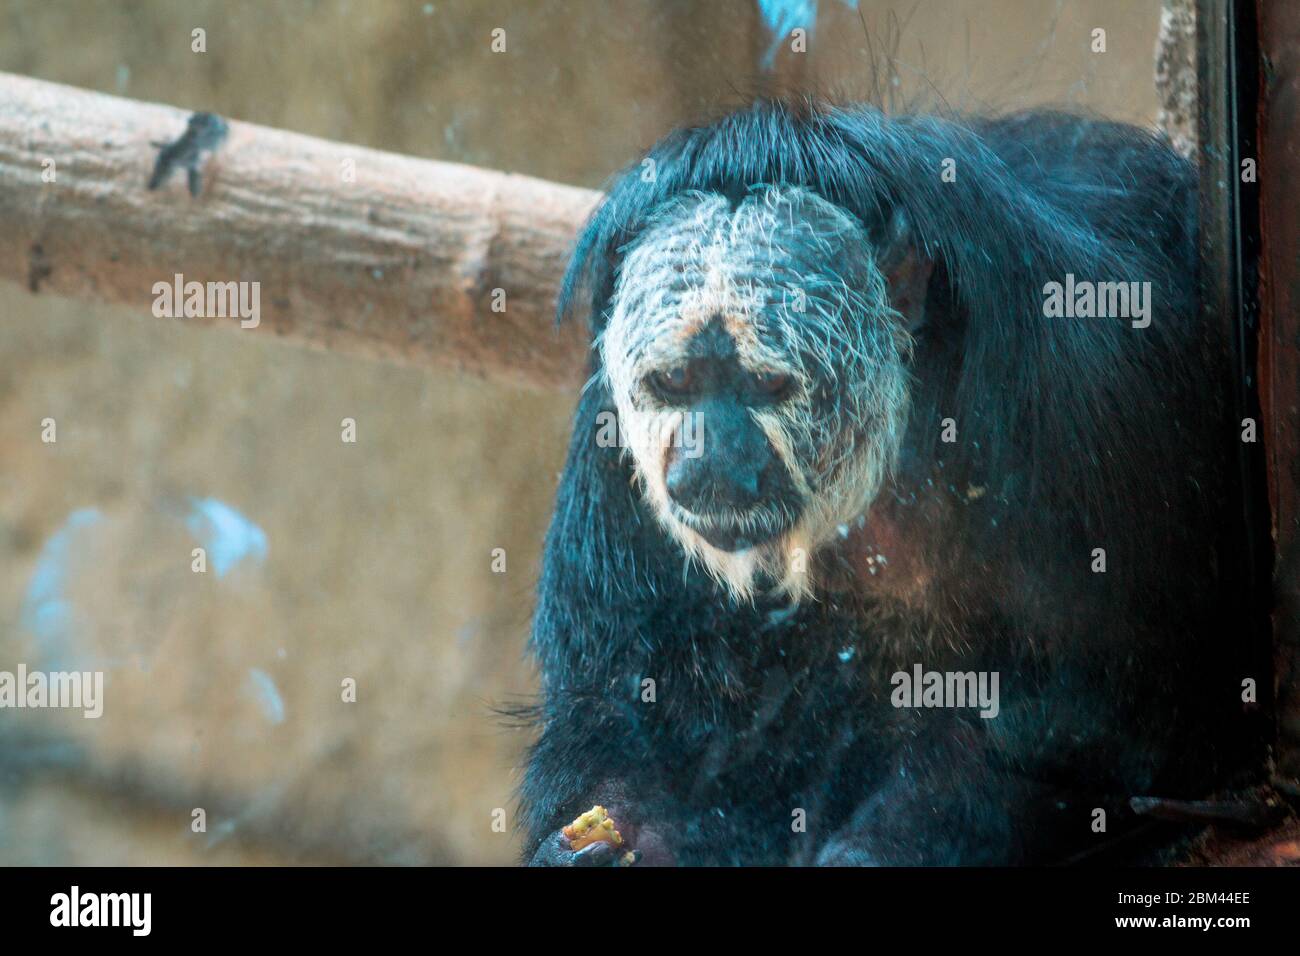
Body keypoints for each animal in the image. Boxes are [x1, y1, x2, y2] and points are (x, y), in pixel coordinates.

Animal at [519, 99, 1258, 866]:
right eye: (676, 383)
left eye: (765, 385)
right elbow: (624, 717)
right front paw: (601, 844)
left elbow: (1096, 729)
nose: (704, 465)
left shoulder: (1086, 395)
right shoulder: (607, 450)